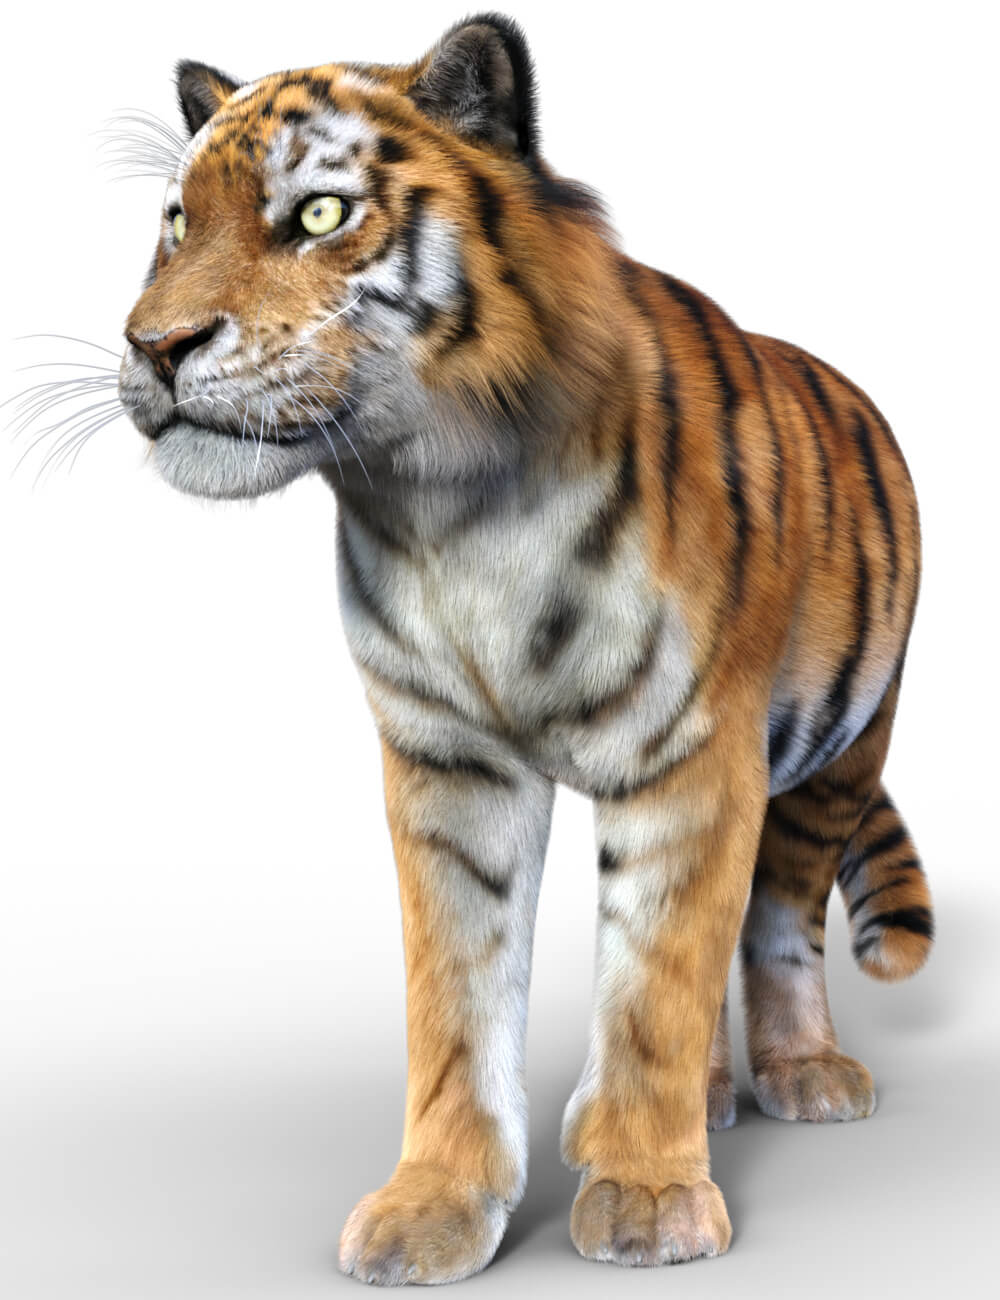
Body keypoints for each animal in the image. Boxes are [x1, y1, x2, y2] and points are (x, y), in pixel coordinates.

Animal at [116, 12, 933, 1284]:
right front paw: (433, 1207)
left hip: (841, 751)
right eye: (174, 224)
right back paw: (713, 1097)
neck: (443, 506)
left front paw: (648, 1196)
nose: (153, 345)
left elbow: (659, 982)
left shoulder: (697, 756)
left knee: (776, 921)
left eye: (318, 214)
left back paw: (800, 1075)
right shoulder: (448, 766)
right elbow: (454, 994)